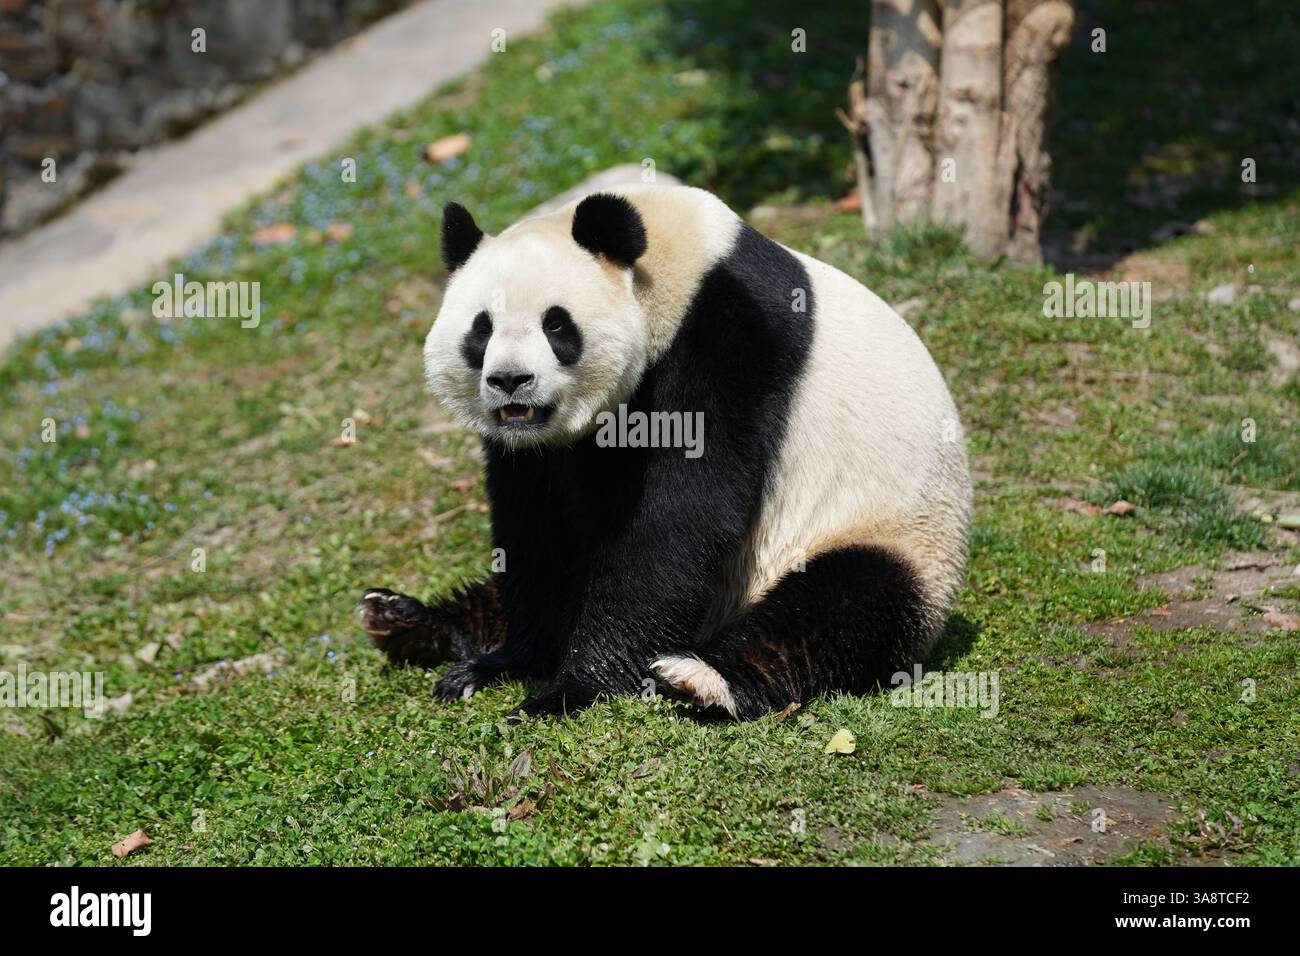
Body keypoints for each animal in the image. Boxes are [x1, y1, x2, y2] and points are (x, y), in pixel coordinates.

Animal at [359, 183, 971, 721]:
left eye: (556, 325)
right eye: (481, 330)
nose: (511, 381)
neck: (672, 265)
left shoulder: (725, 342)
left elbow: (674, 522)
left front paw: (569, 691)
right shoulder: (538, 454)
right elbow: (538, 530)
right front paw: (506, 662)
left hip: (893, 534)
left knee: (844, 604)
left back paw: (709, 678)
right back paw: (406, 620)